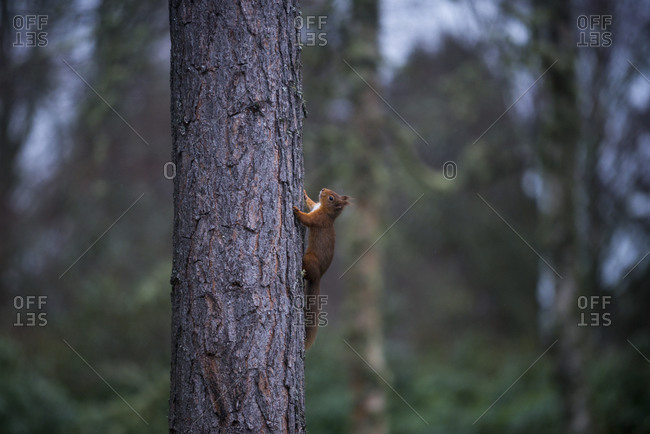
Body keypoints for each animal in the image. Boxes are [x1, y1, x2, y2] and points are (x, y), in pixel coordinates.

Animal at [293, 188, 349, 349]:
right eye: (332, 193)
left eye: (331, 198)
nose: (323, 189)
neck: (325, 211)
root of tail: (319, 276)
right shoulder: (315, 208)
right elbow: (311, 203)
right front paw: (305, 194)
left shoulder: (318, 219)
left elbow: (307, 220)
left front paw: (297, 211)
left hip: (311, 259)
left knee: (307, 274)